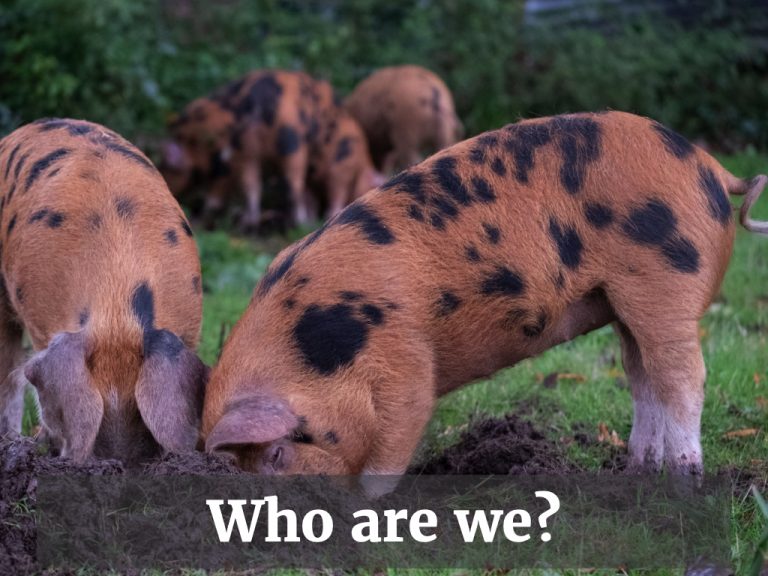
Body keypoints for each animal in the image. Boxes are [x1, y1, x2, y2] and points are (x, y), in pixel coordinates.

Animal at [161, 70, 382, 230]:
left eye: (168, 169)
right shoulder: (341, 165)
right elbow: (333, 193)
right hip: (291, 142)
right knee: (292, 186)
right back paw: (297, 222)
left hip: (248, 150)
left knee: (252, 185)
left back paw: (250, 223)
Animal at [201, 111, 767, 478]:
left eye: (276, 454)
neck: (320, 347)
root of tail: (711, 167)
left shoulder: (407, 363)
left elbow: (393, 443)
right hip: (623, 299)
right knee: (641, 374)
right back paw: (636, 471)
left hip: (665, 280)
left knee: (683, 376)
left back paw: (683, 479)